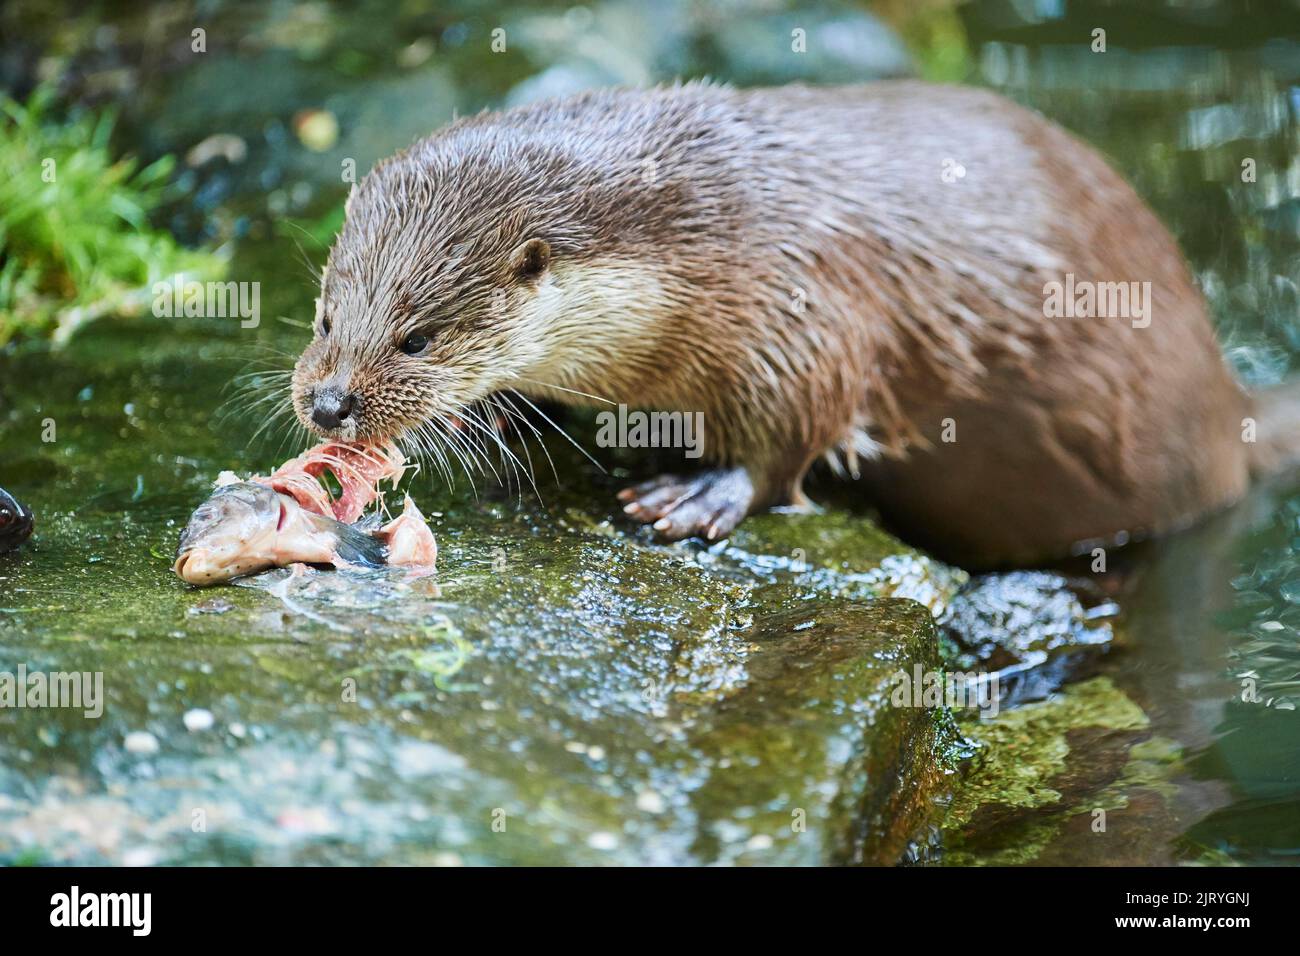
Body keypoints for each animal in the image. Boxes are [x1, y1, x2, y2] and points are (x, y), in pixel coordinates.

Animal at [290, 81, 1297, 569]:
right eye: (328, 312)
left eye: (418, 337)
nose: (330, 404)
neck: (702, 227)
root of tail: (1229, 406)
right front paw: (502, 411)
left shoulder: (797, 298)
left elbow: (798, 424)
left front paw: (700, 494)